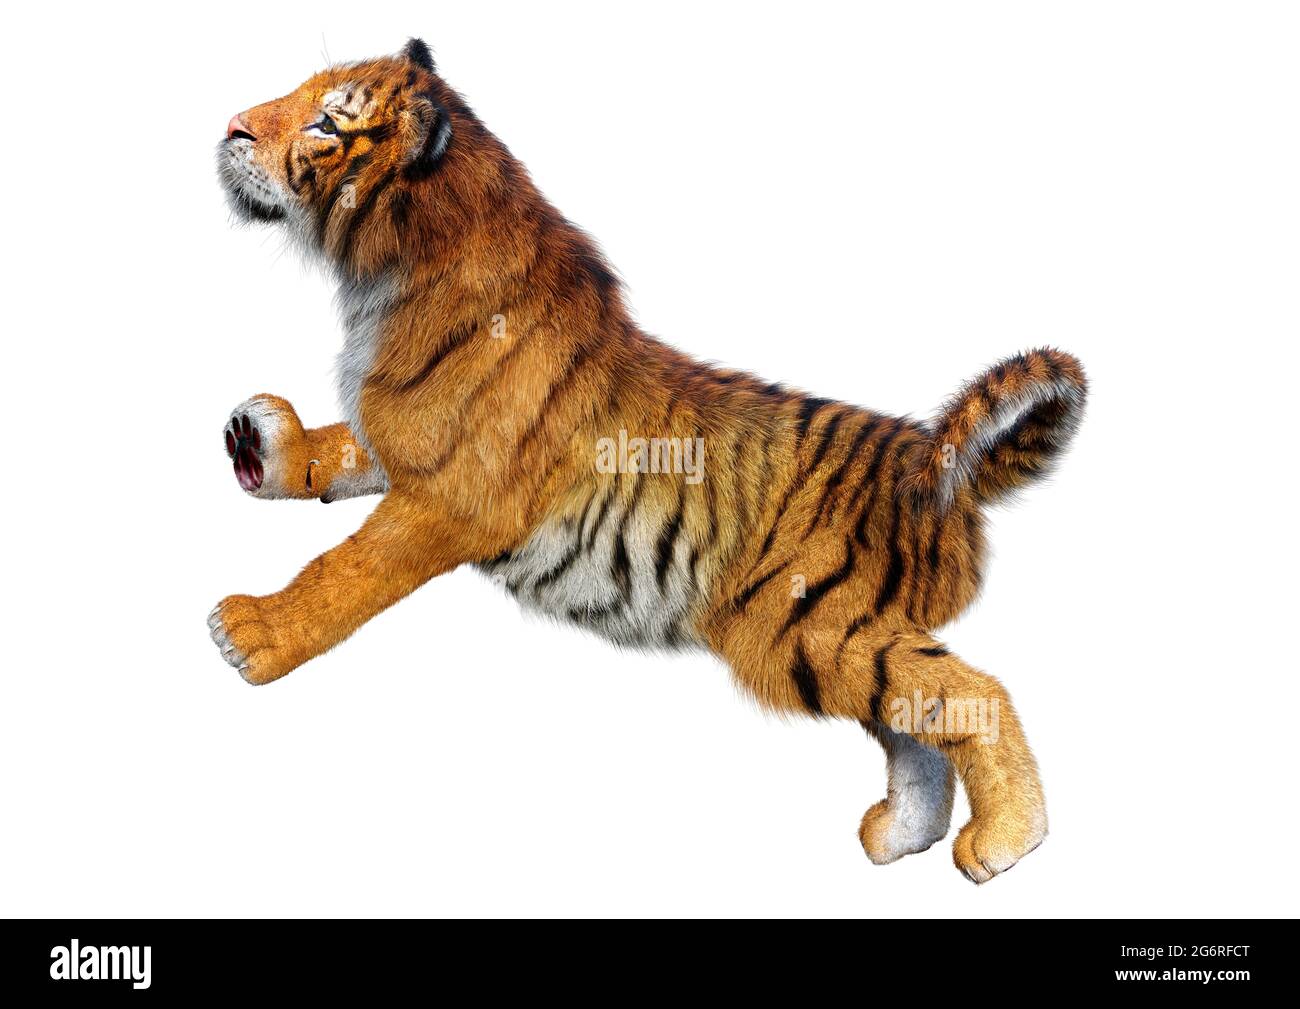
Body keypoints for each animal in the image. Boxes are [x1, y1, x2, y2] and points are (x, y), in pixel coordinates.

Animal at [211, 38, 1087, 883]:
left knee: (968, 692)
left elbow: (346, 568)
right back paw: (902, 836)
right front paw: (263, 444)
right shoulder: (404, 440)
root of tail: (932, 463)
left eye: (326, 123)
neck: (379, 278)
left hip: (798, 628)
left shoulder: (452, 498)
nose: (230, 128)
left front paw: (253, 631)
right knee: (913, 724)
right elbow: (346, 446)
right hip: (838, 633)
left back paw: (1005, 839)